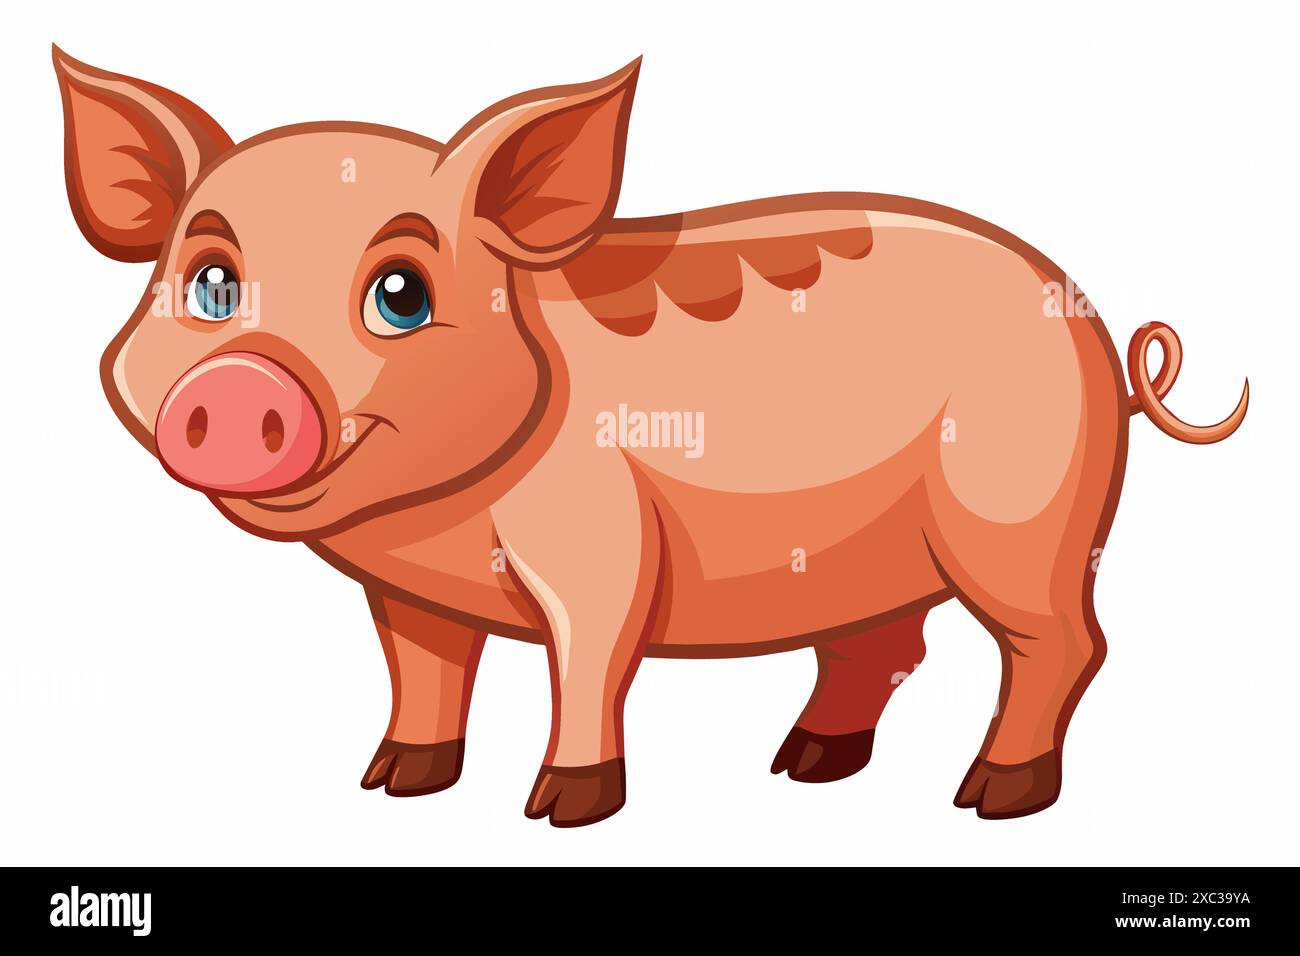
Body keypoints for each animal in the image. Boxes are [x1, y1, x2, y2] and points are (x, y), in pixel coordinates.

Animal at [54, 45, 1247, 826]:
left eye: (400, 294)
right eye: (211, 285)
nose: (238, 387)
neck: (435, 519)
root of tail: (1097, 331)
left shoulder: (603, 543)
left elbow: (591, 659)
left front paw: (560, 811)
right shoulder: (407, 595)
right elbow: (423, 672)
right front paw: (392, 784)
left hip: (1024, 520)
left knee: (1066, 644)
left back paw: (991, 800)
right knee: (884, 648)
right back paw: (804, 768)